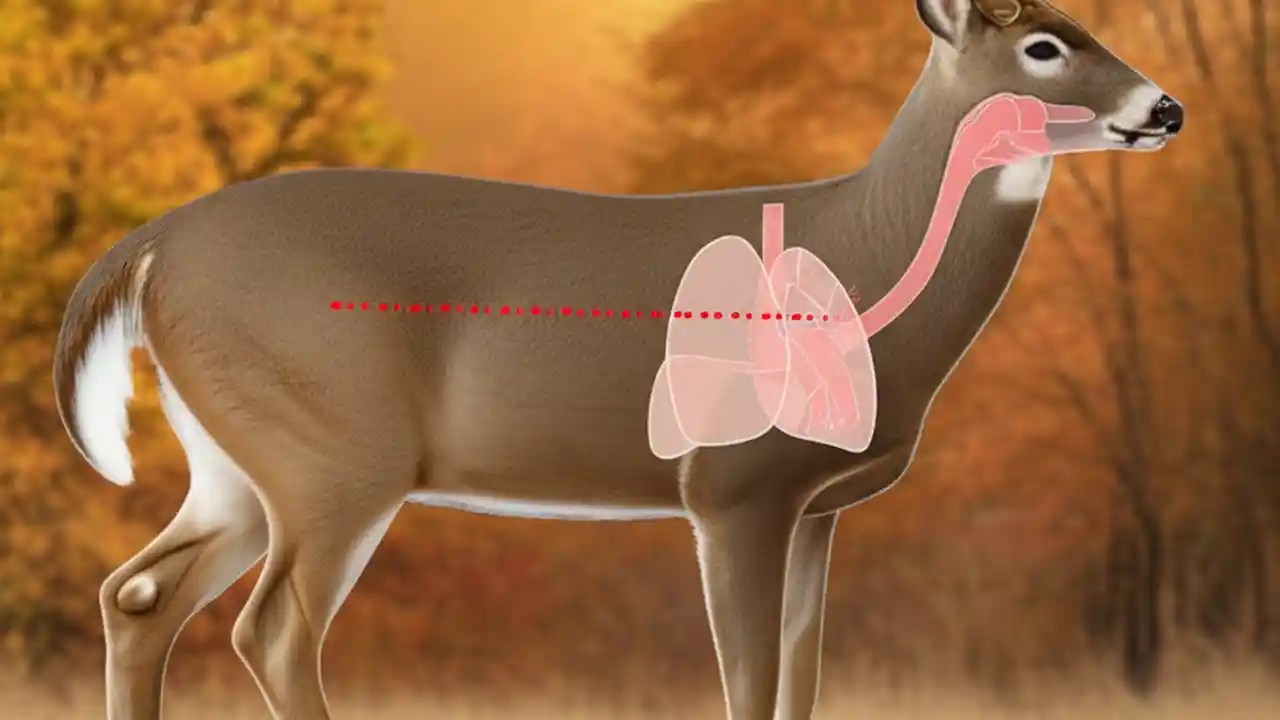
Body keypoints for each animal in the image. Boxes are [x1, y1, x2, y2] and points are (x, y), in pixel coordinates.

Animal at [53, 1, 1182, 718]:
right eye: (1044, 46)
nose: (1164, 109)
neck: (857, 265)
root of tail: (152, 245)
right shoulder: (733, 482)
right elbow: (748, 682)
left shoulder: (816, 508)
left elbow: (801, 680)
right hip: (334, 448)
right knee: (271, 631)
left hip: (243, 460)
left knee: (136, 597)